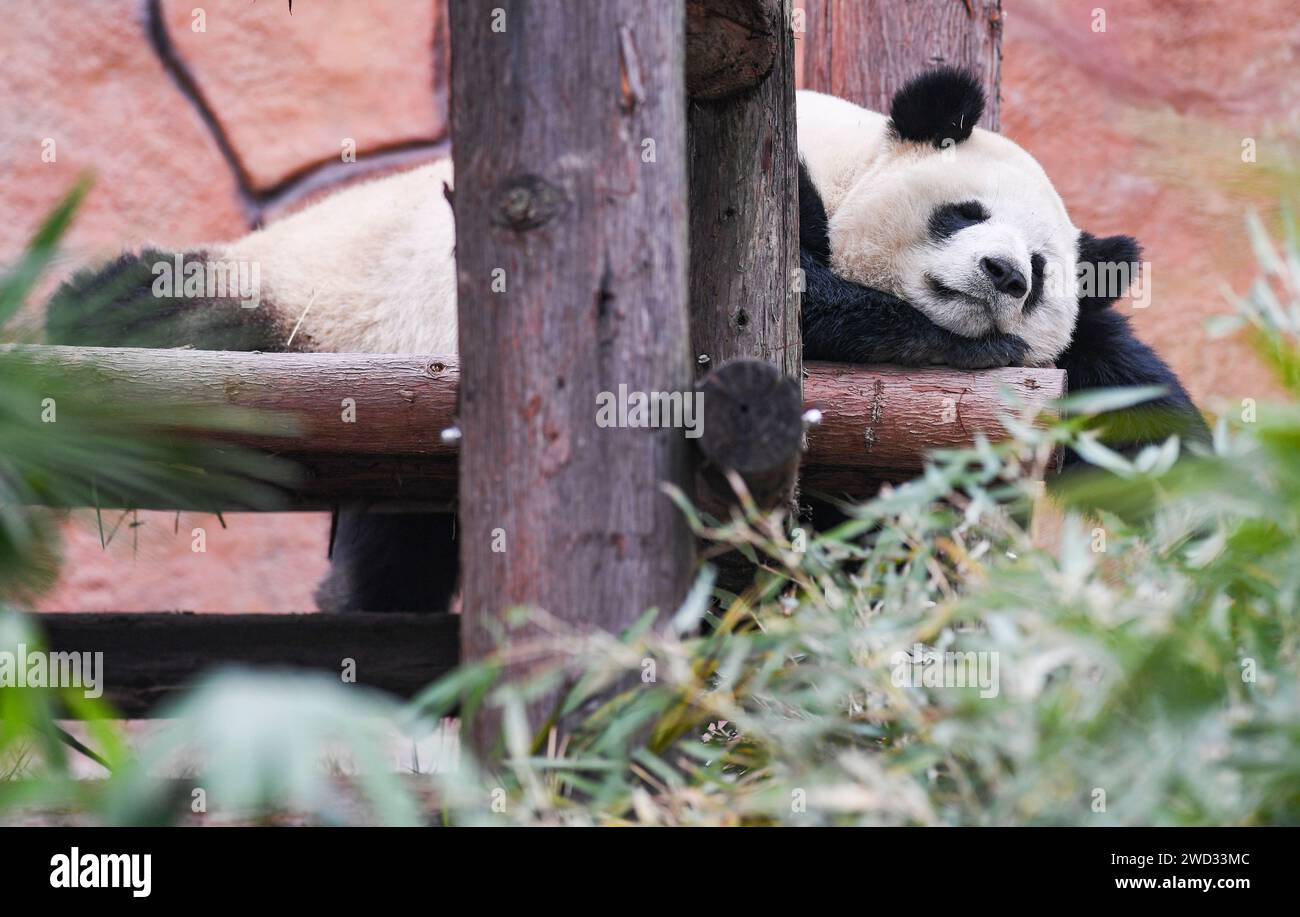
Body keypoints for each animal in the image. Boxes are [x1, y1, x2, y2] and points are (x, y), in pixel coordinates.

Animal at [46, 67, 1208, 613]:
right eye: (963, 213)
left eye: (1044, 270)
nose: (1004, 277)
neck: (843, 159)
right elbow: (784, 302)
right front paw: (951, 345)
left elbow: (1128, 397)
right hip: (302, 301)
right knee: (170, 307)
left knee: (401, 537)